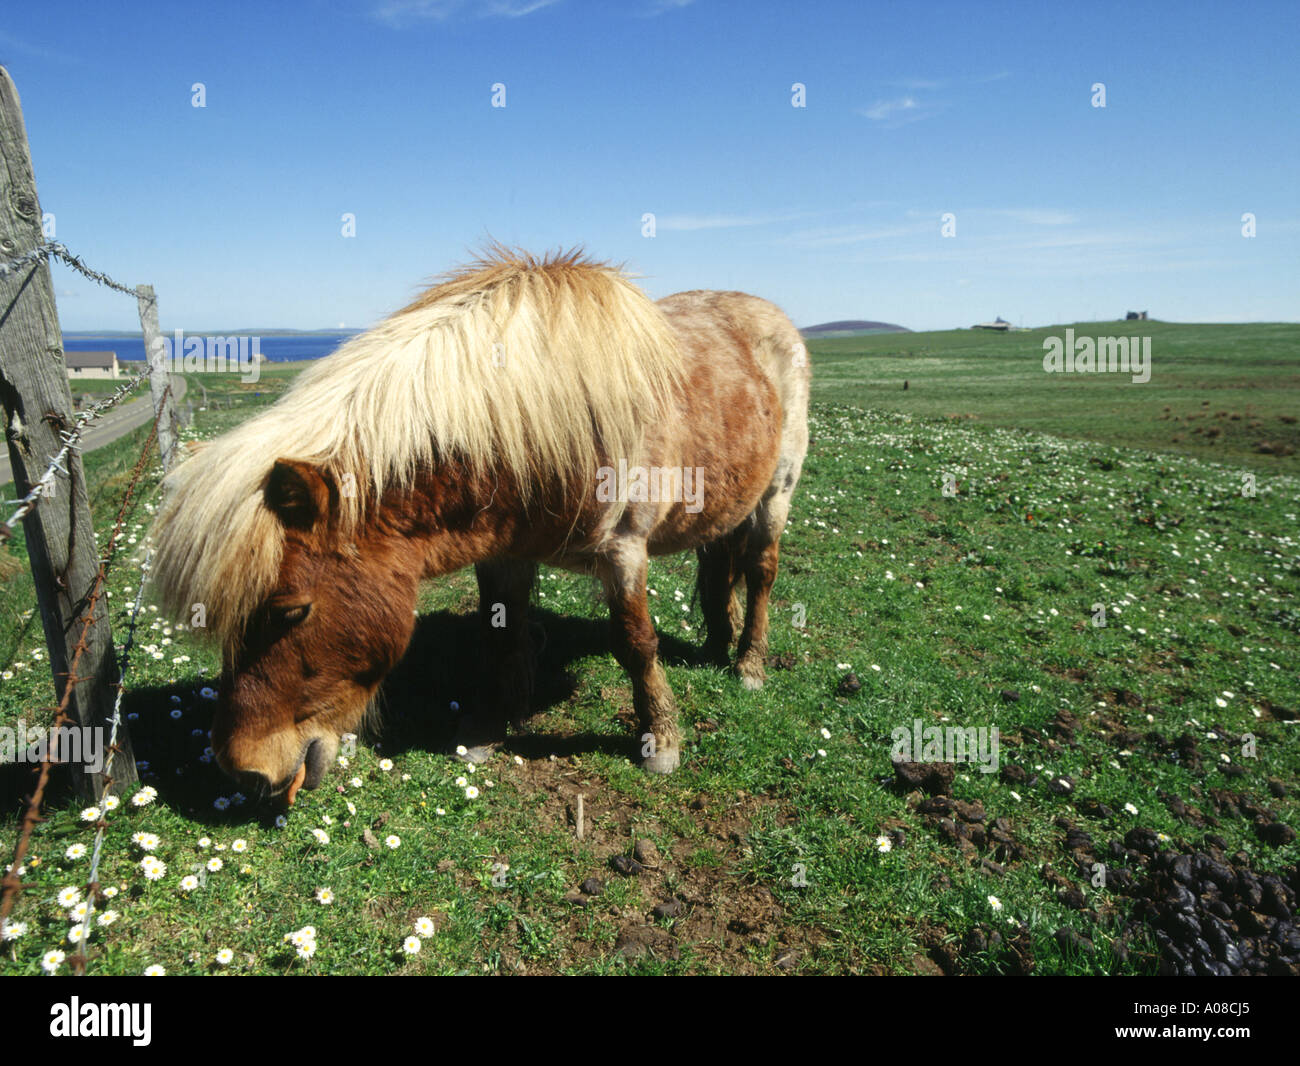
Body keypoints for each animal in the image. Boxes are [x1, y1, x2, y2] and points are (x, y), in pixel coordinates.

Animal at [150, 248, 809, 803]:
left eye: (291, 611)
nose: (242, 770)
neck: (545, 425)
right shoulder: (503, 553)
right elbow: (505, 635)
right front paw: (491, 729)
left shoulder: (623, 550)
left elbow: (635, 643)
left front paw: (660, 742)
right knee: (719, 565)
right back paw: (717, 643)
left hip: (776, 492)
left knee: (760, 570)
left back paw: (748, 663)